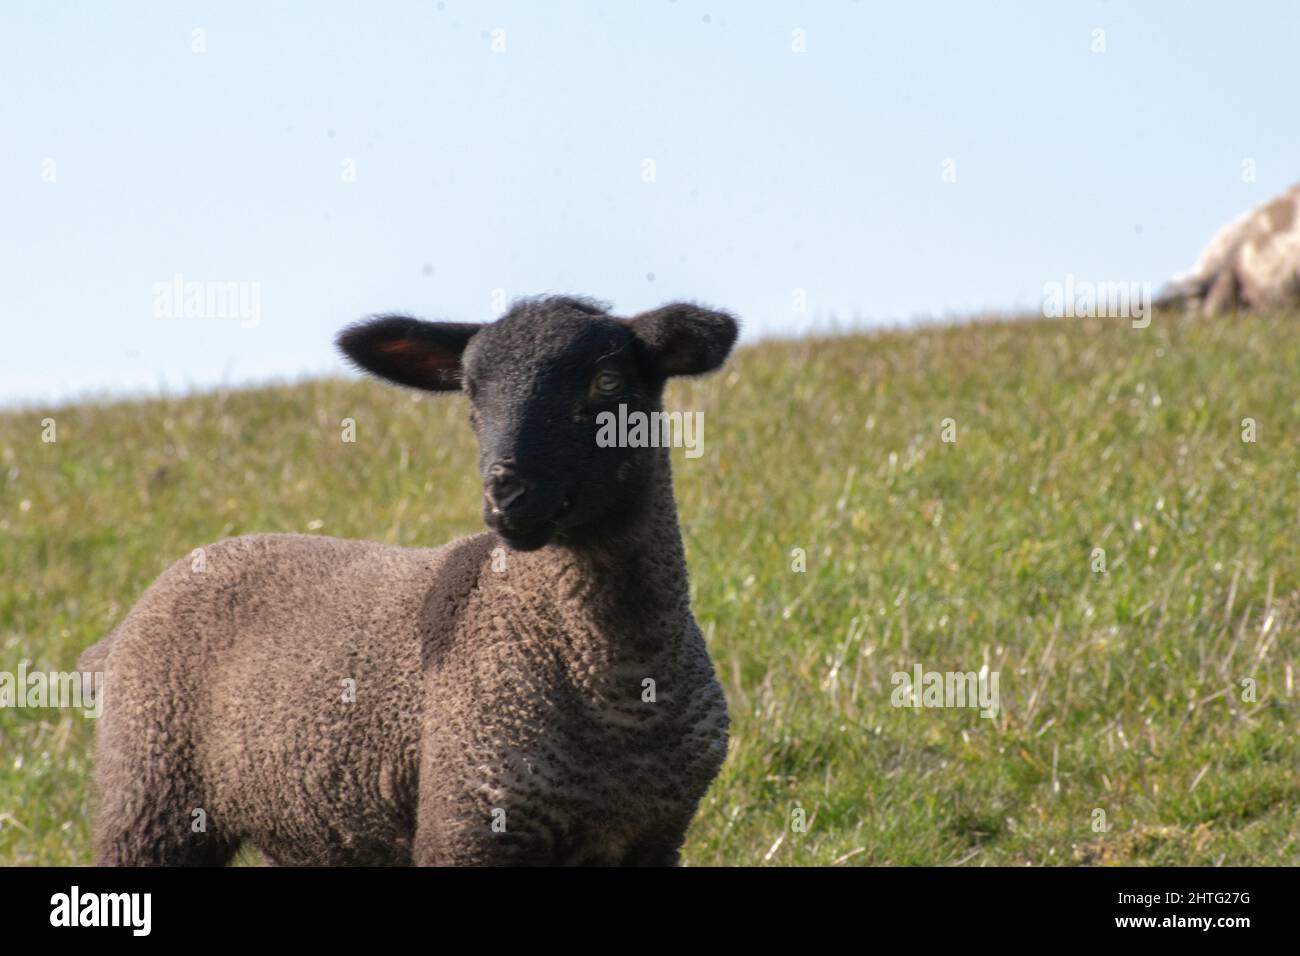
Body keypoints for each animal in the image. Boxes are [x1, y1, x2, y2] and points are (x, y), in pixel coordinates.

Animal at [78, 295, 737, 866]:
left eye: (607, 382)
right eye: (470, 391)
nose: (506, 494)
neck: (619, 689)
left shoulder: (655, 836)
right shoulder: (466, 826)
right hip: (150, 796)